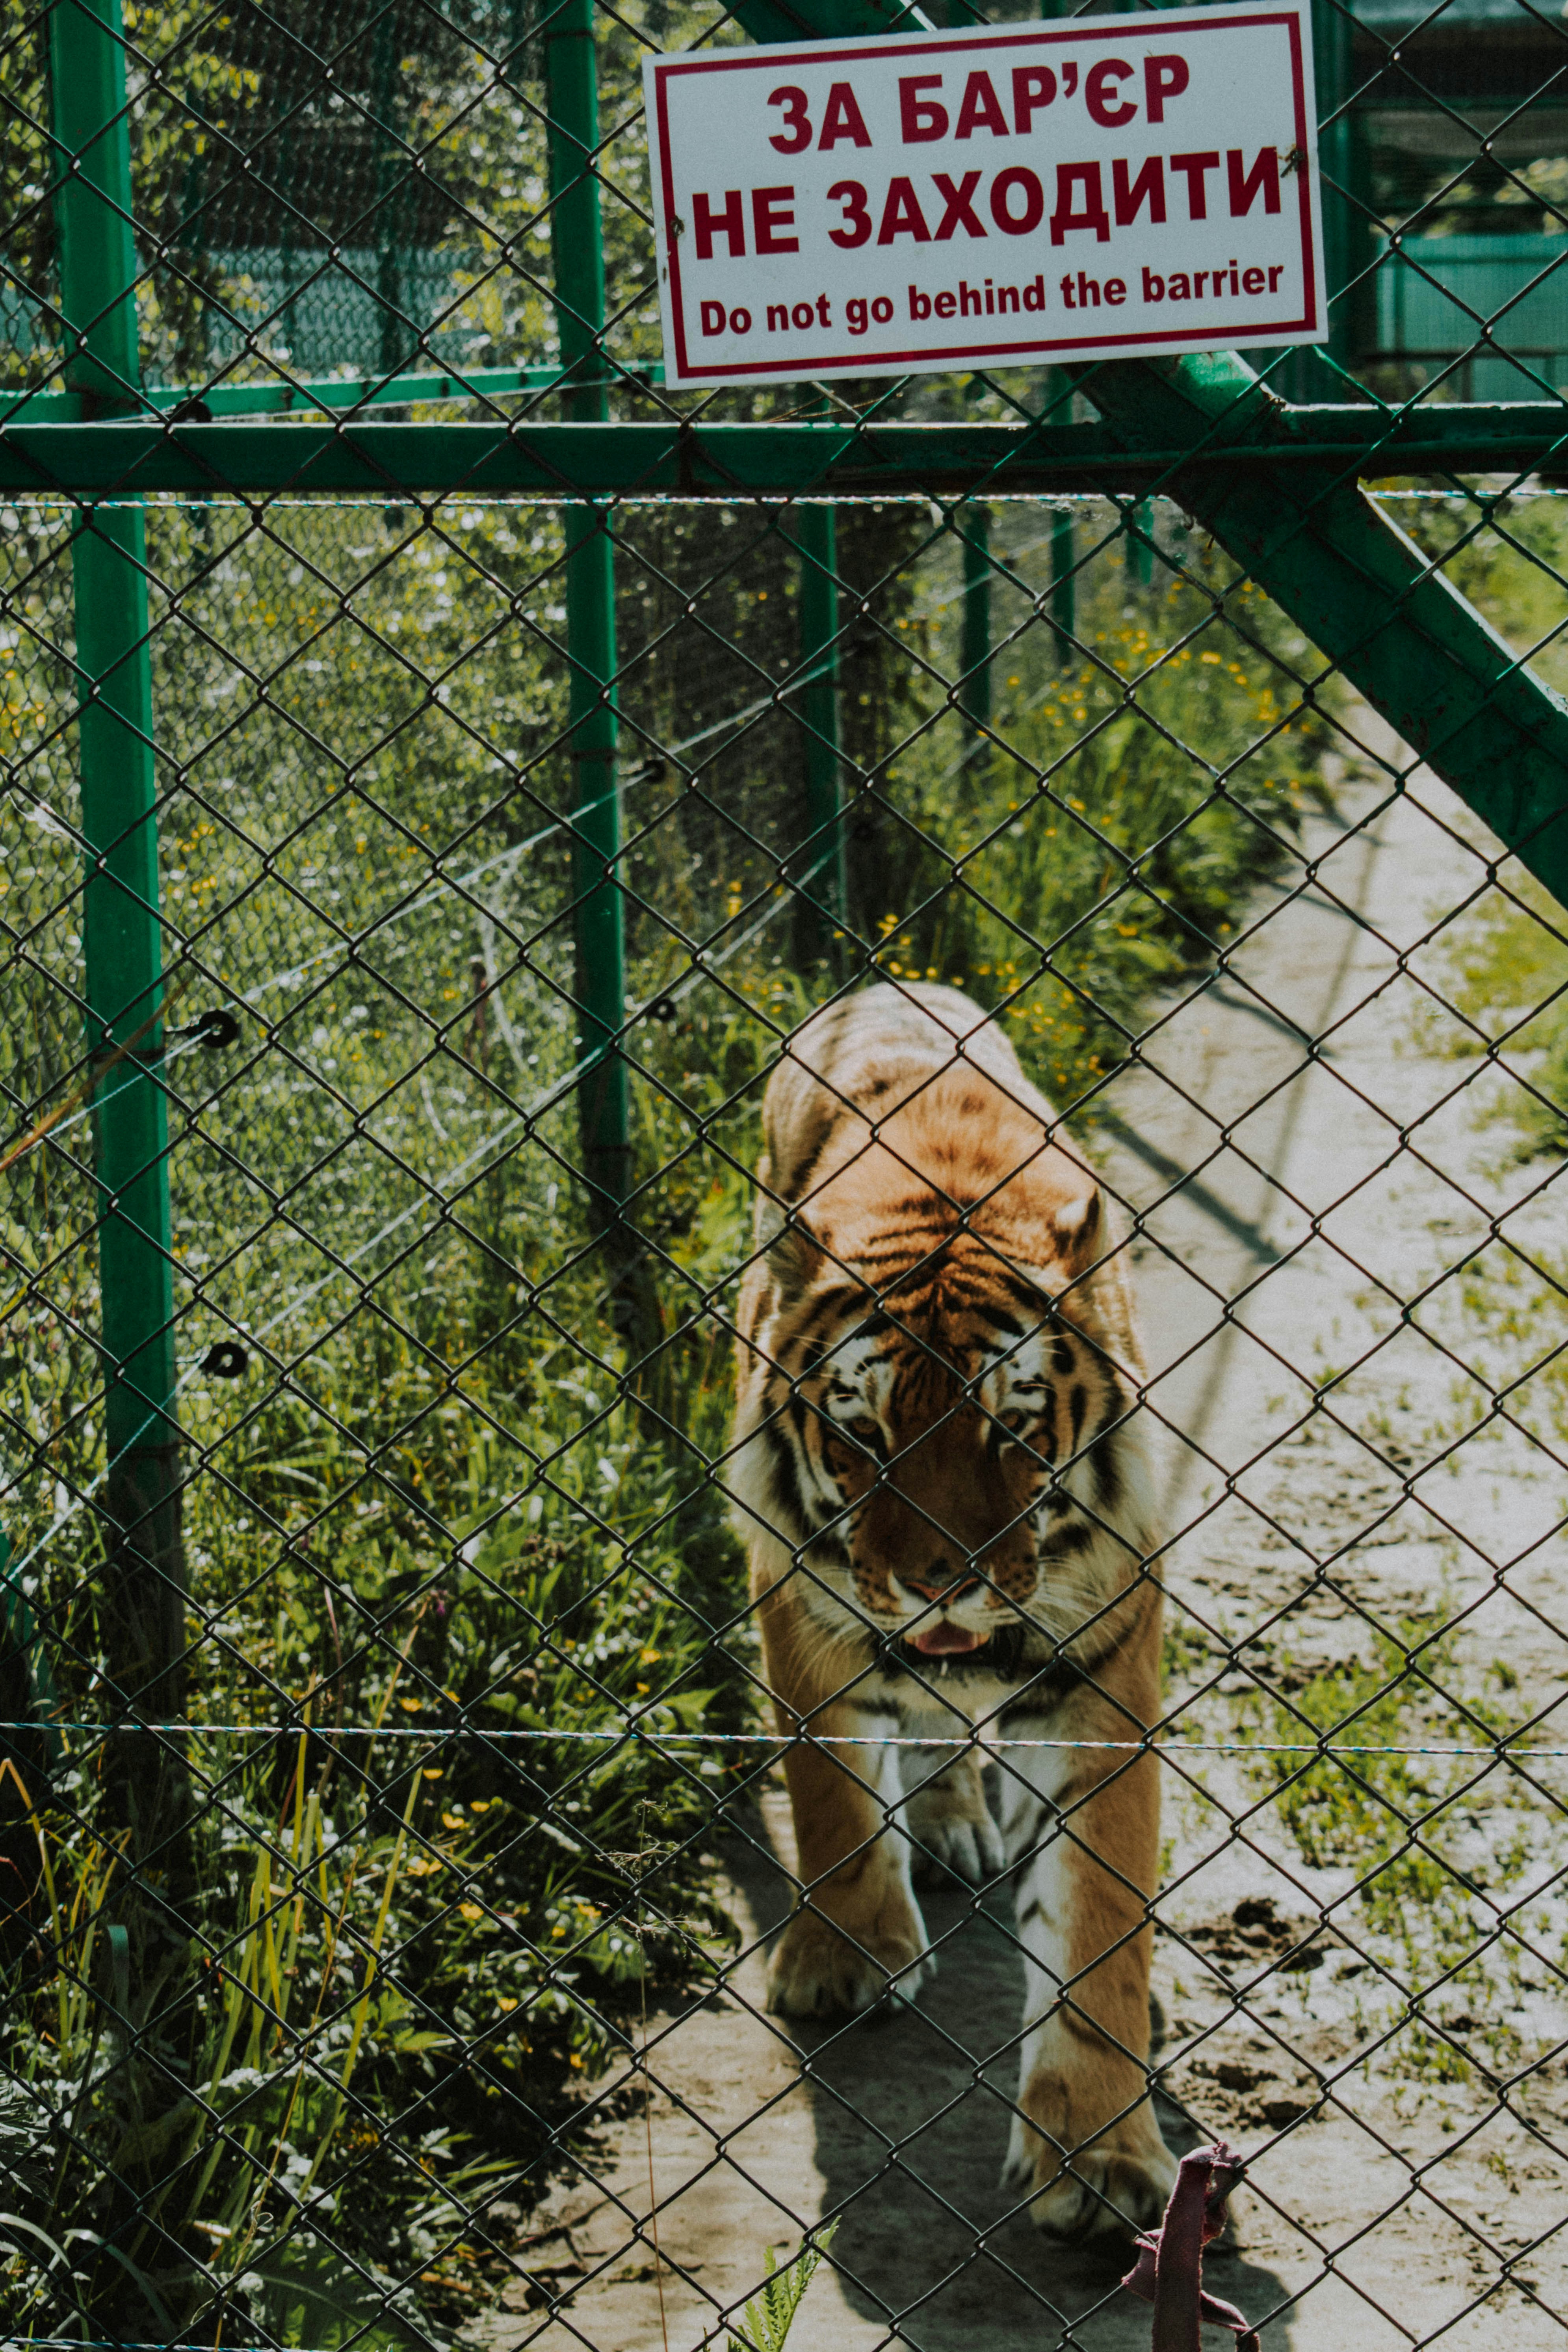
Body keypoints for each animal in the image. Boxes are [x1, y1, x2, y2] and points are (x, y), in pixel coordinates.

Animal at [729, 980, 1176, 2240]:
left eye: (1009, 1431)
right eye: (863, 1434)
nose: (942, 1578)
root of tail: (886, 981)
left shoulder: (1099, 1678)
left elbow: (1095, 1917)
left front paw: (1099, 2157)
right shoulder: (804, 1604)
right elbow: (831, 1792)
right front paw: (844, 1960)